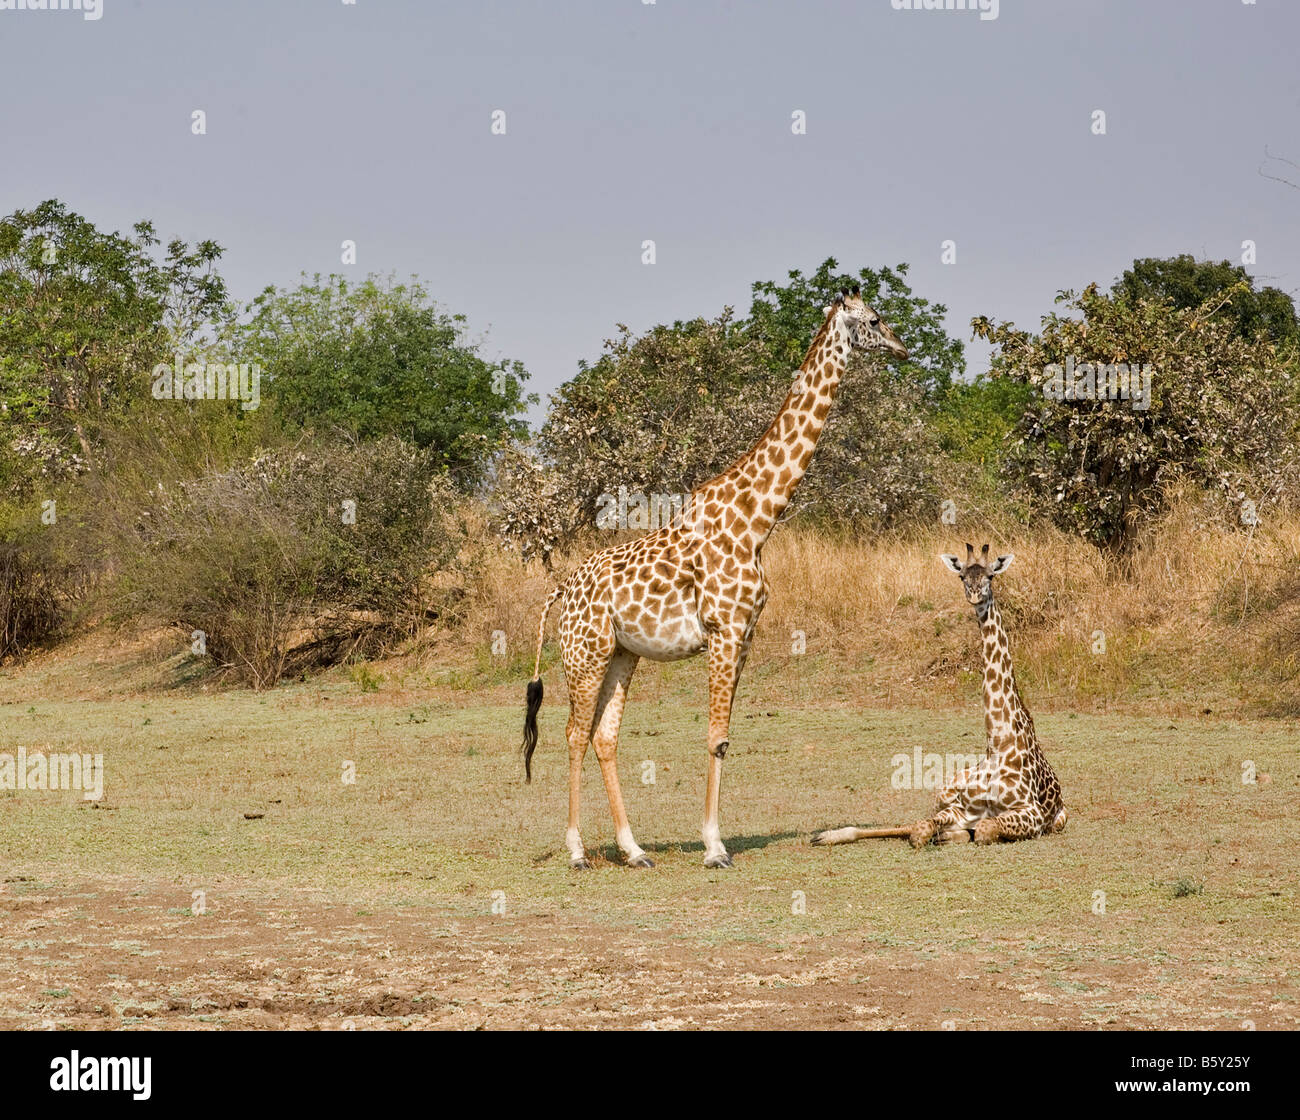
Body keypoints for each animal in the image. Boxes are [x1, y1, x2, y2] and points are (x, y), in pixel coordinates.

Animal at [522, 289, 909, 869]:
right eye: (875, 320)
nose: (904, 349)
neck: (757, 521)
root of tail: (561, 590)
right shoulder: (723, 631)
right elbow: (715, 737)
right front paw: (714, 847)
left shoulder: (745, 635)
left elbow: (724, 736)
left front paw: (710, 841)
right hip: (583, 653)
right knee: (572, 734)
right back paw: (577, 852)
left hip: (621, 653)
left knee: (604, 738)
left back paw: (634, 850)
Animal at [811, 544, 1067, 849]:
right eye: (962, 576)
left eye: (991, 575)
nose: (975, 594)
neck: (998, 742)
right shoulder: (961, 808)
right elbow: (919, 830)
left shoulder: (1033, 814)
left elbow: (984, 830)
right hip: (945, 788)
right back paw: (826, 835)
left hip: (1059, 820)